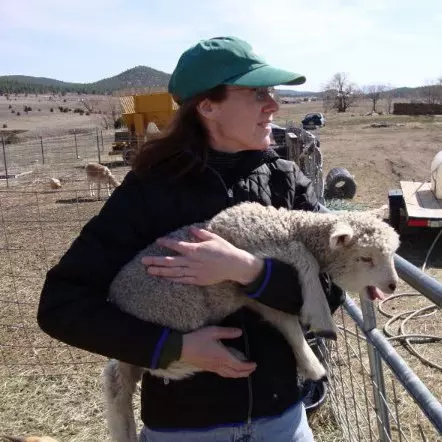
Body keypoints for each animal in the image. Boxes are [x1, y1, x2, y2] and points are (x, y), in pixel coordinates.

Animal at [104, 201, 400, 442]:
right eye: (365, 258)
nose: (393, 285)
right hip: (176, 308)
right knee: (159, 362)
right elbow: (304, 257)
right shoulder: (254, 242)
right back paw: (225, 356)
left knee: (117, 379)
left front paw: (311, 364)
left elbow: (289, 326)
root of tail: (116, 300)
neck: (290, 226)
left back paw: (123, 430)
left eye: (390, 254)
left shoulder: (258, 297)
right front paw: (320, 314)